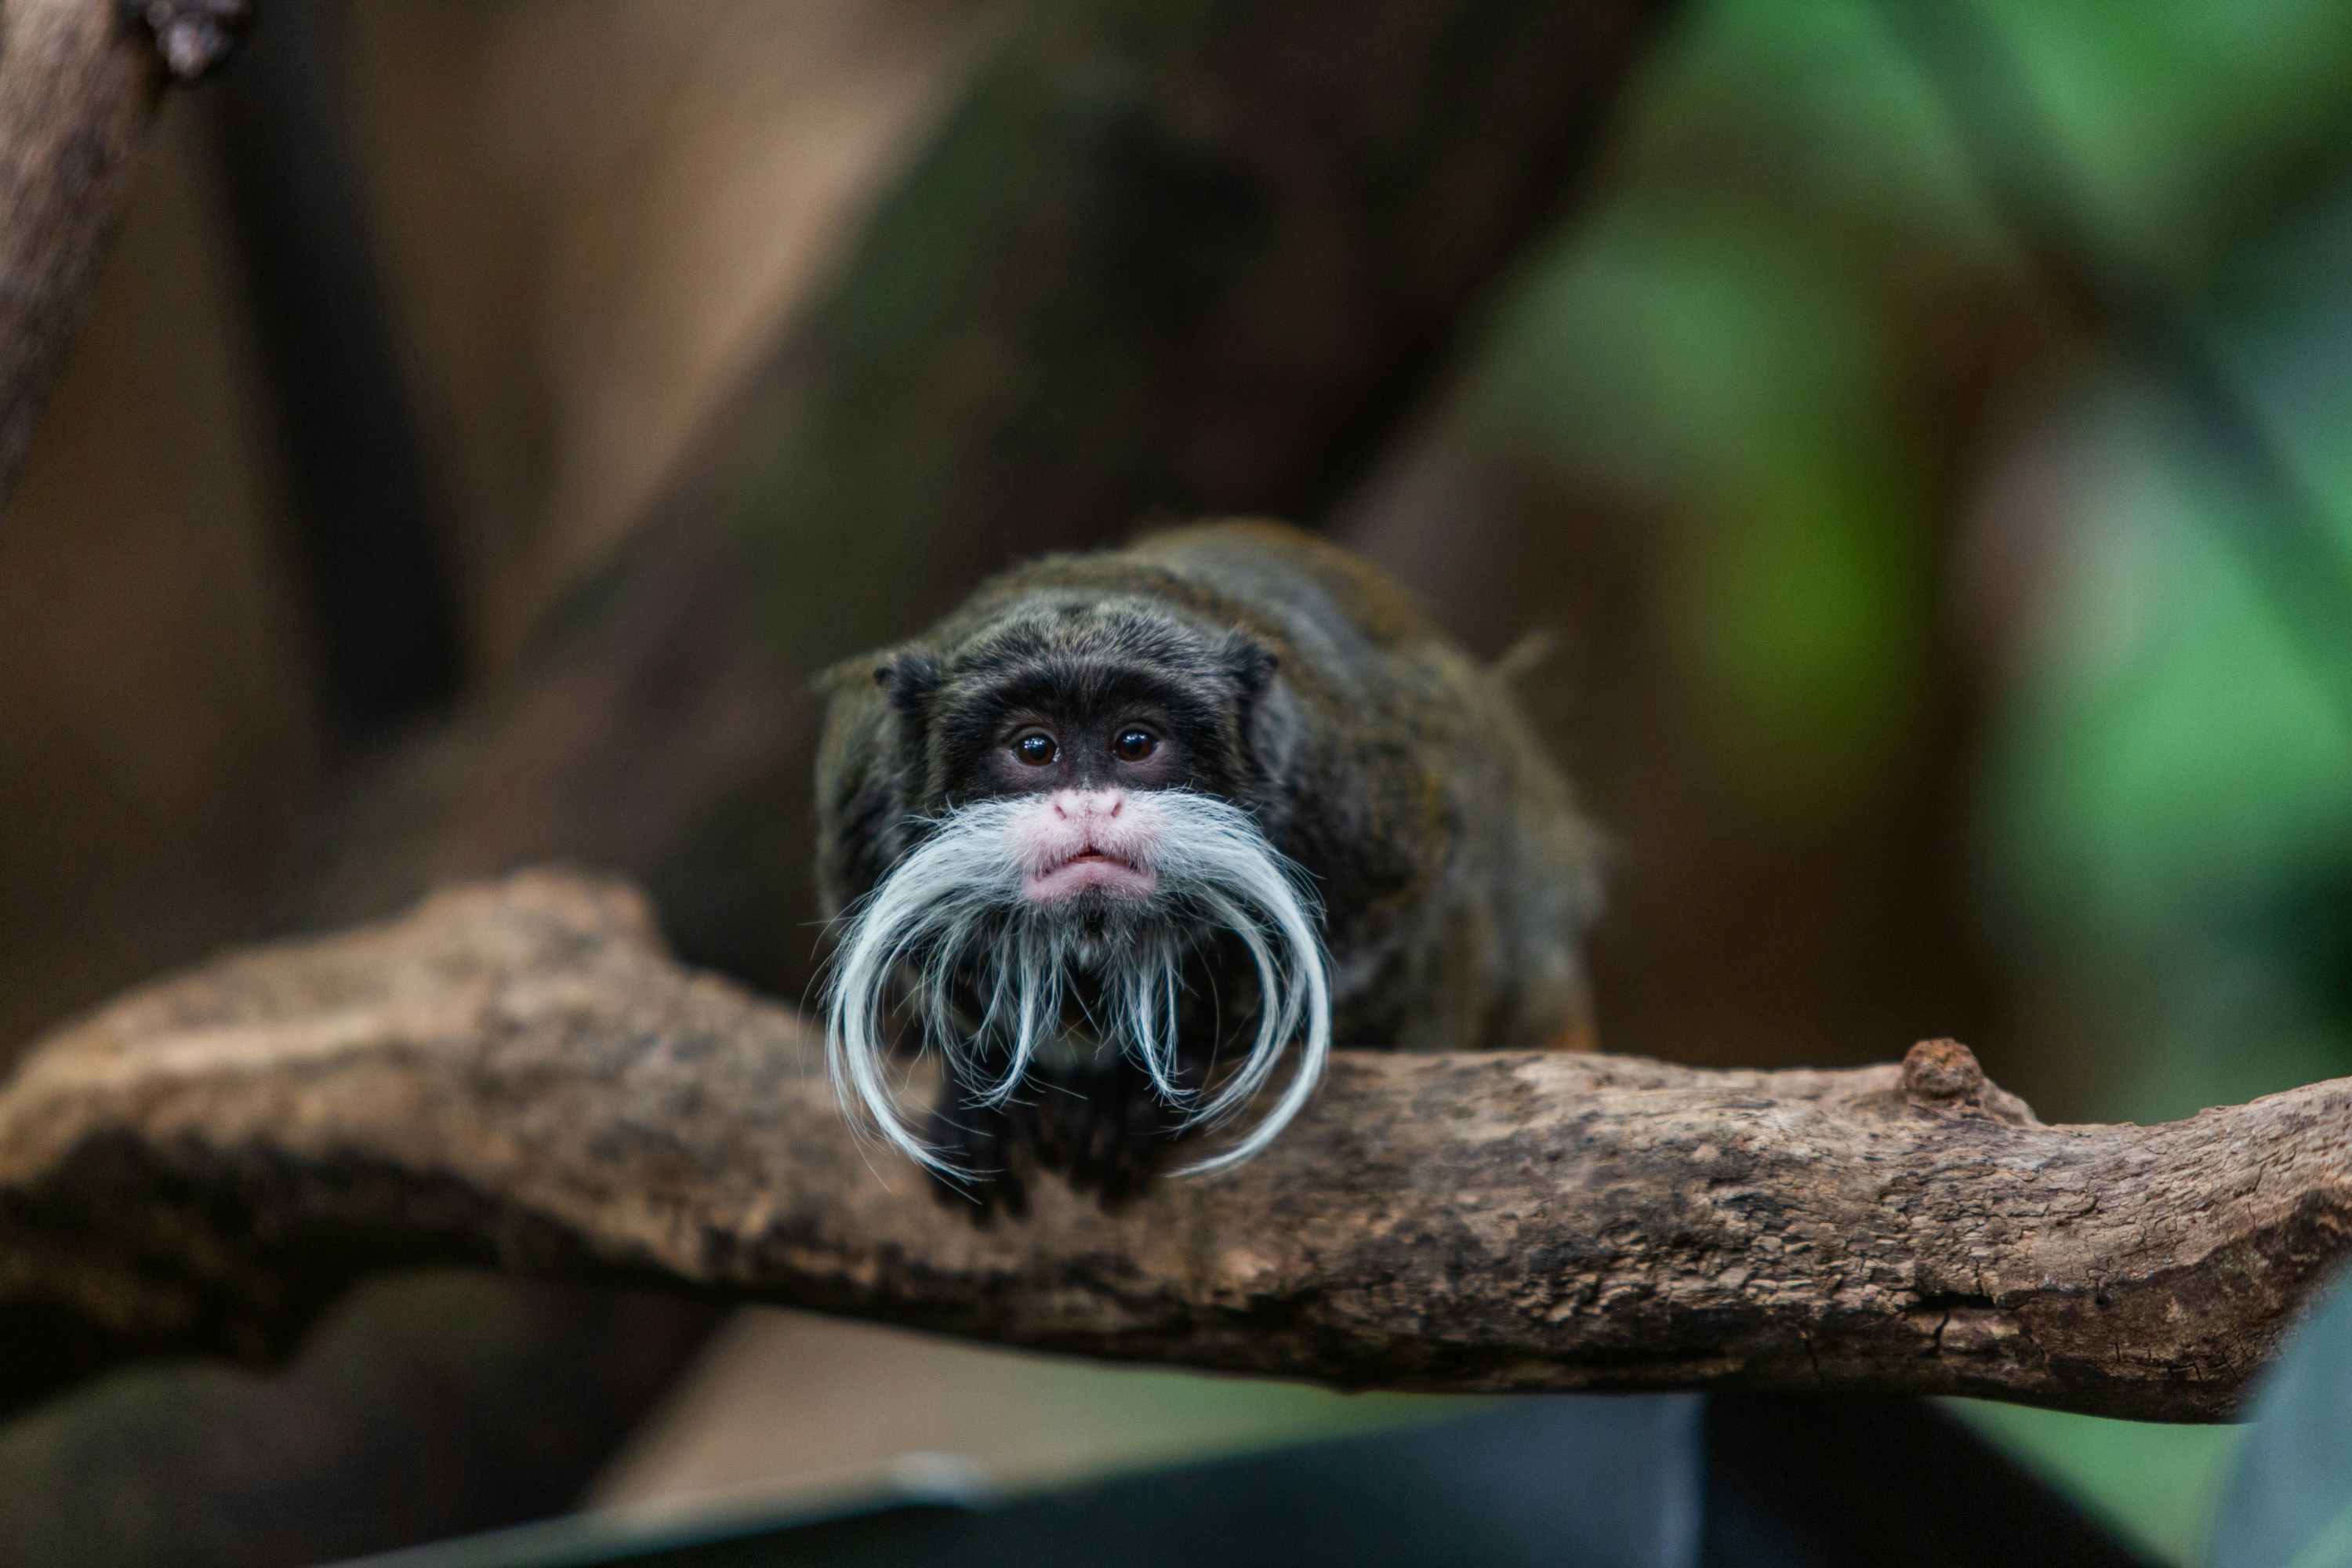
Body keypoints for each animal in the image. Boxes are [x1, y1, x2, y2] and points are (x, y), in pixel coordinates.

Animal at [815, 519, 1600, 1215]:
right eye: (1035, 749)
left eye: (1135, 743)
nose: (1089, 806)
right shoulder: (860, 814)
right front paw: (982, 1084)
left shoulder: (1355, 801)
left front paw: (1150, 1080)